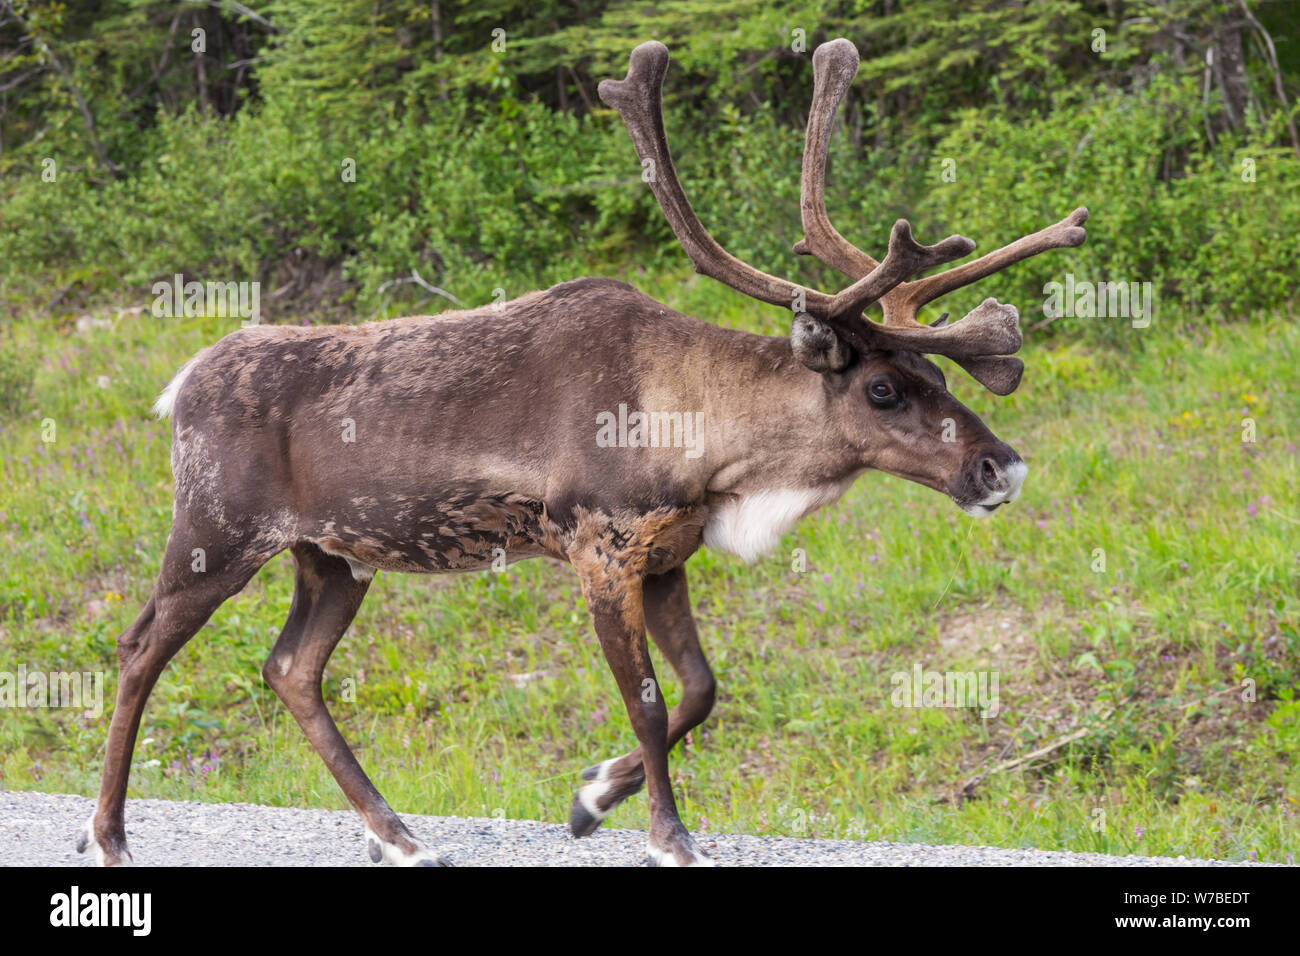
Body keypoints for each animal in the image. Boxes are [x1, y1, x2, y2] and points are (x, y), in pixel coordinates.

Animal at [77, 37, 1086, 867]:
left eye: (937, 371)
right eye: (882, 388)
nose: (1001, 466)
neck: (710, 448)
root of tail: (180, 383)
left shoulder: (667, 555)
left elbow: (703, 690)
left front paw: (593, 798)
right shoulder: (600, 547)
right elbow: (647, 698)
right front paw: (669, 838)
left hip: (331, 556)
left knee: (291, 668)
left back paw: (401, 836)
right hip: (218, 528)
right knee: (139, 645)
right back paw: (111, 834)